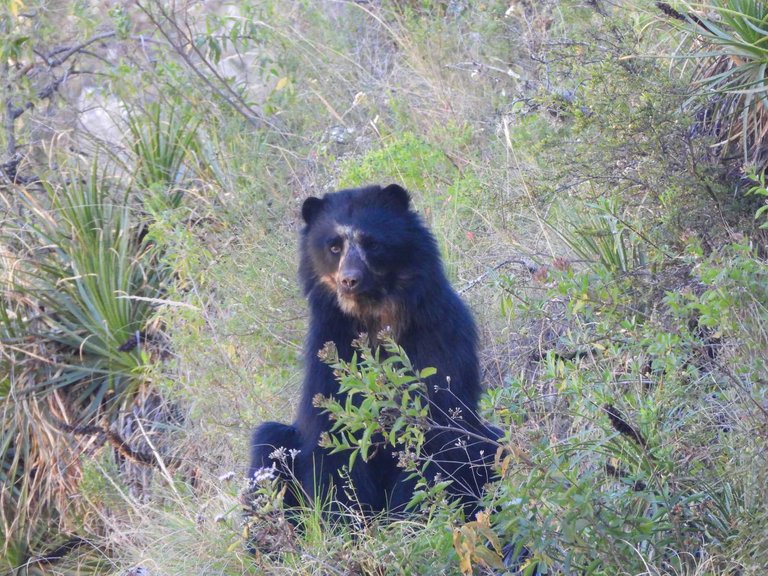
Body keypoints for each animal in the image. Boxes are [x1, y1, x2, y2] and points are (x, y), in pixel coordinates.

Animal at [248, 184, 501, 516]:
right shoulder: (330, 348)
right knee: (267, 440)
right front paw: (344, 515)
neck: (374, 314)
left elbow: (435, 425)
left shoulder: (437, 337)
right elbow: (333, 433)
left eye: (372, 243)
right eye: (333, 247)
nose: (349, 280)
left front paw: (412, 515)